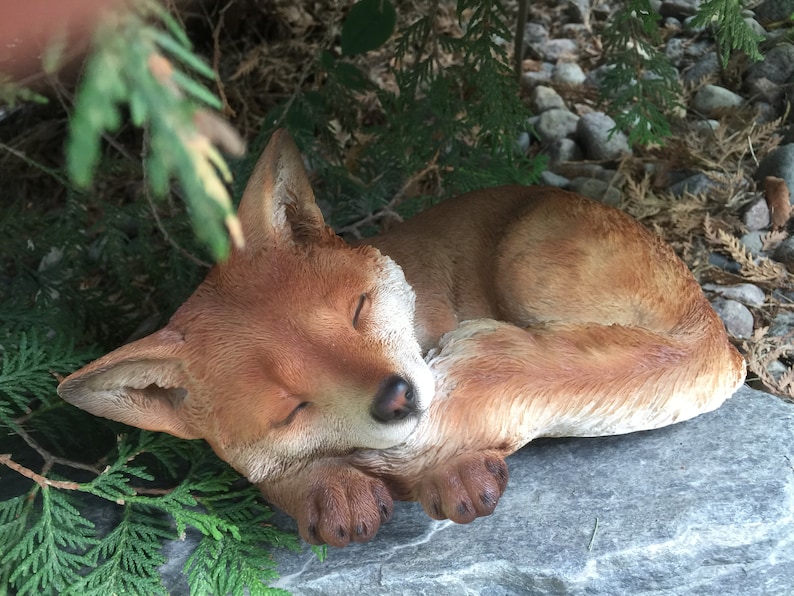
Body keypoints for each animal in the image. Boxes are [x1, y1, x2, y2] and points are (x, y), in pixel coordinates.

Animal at [58, 129, 746, 547]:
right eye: (291, 408)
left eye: (357, 311)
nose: (397, 399)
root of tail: (717, 334)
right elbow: (273, 473)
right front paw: (330, 488)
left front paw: (450, 468)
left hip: (527, 263)